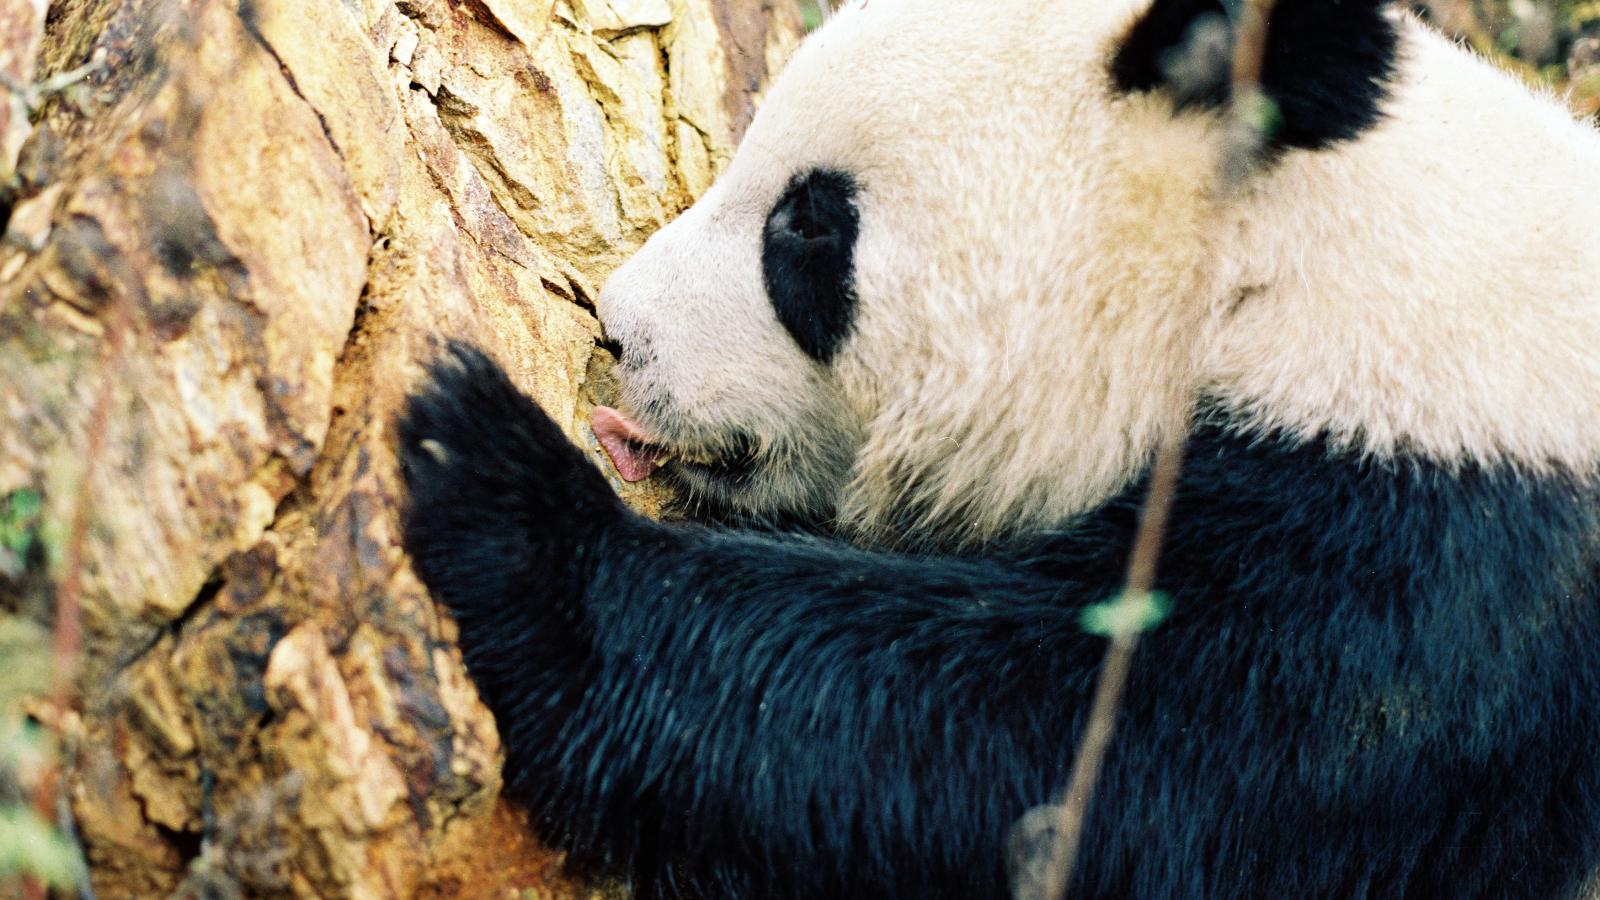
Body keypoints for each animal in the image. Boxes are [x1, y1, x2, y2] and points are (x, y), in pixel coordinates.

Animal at [396, 0, 1600, 897]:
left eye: (808, 226)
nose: (619, 331)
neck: (1276, 260)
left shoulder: (1437, 560)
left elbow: (1066, 771)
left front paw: (504, 494)